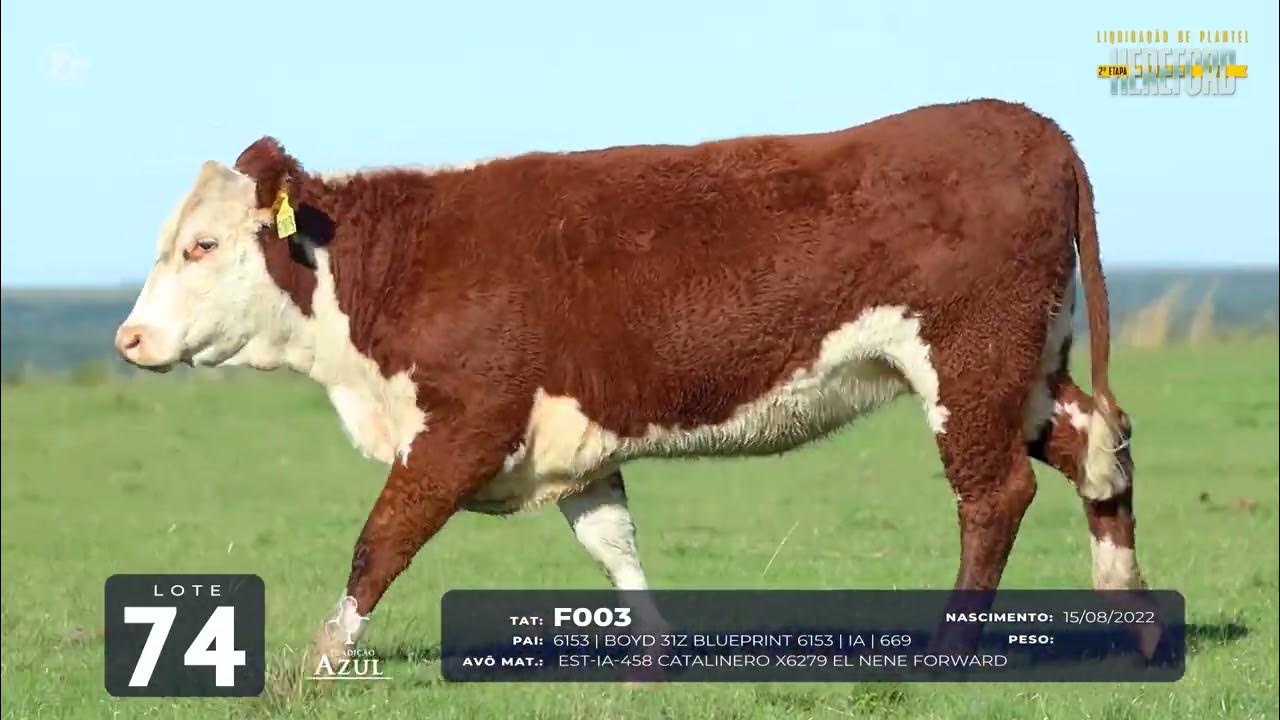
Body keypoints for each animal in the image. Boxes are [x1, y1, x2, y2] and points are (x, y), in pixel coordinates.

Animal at [115, 99, 1143, 666]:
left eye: (201, 244)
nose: (130, 338)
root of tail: (1031, 125)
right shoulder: (567, 443)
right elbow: (613, 544)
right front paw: (653, 655)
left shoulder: (462, 428)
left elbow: (380, 543)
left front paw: (322, 662)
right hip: (1026, 372)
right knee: (1100, 451)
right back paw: (1133, 619)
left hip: (969, 363)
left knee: (995, 493)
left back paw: (946, 654)